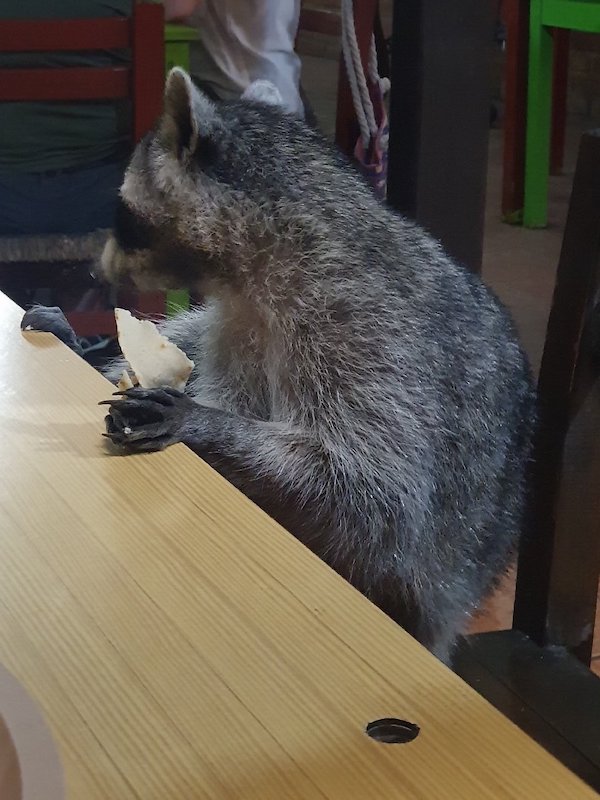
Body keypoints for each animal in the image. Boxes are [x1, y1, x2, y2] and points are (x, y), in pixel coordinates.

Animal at [27, 69, 536, 663]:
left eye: (122, 216)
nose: (96, 267)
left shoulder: (362, 327)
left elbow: (374, 496)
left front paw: (203, 421)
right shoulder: (239, 317)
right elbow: (198, 345)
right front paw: (92, 351)